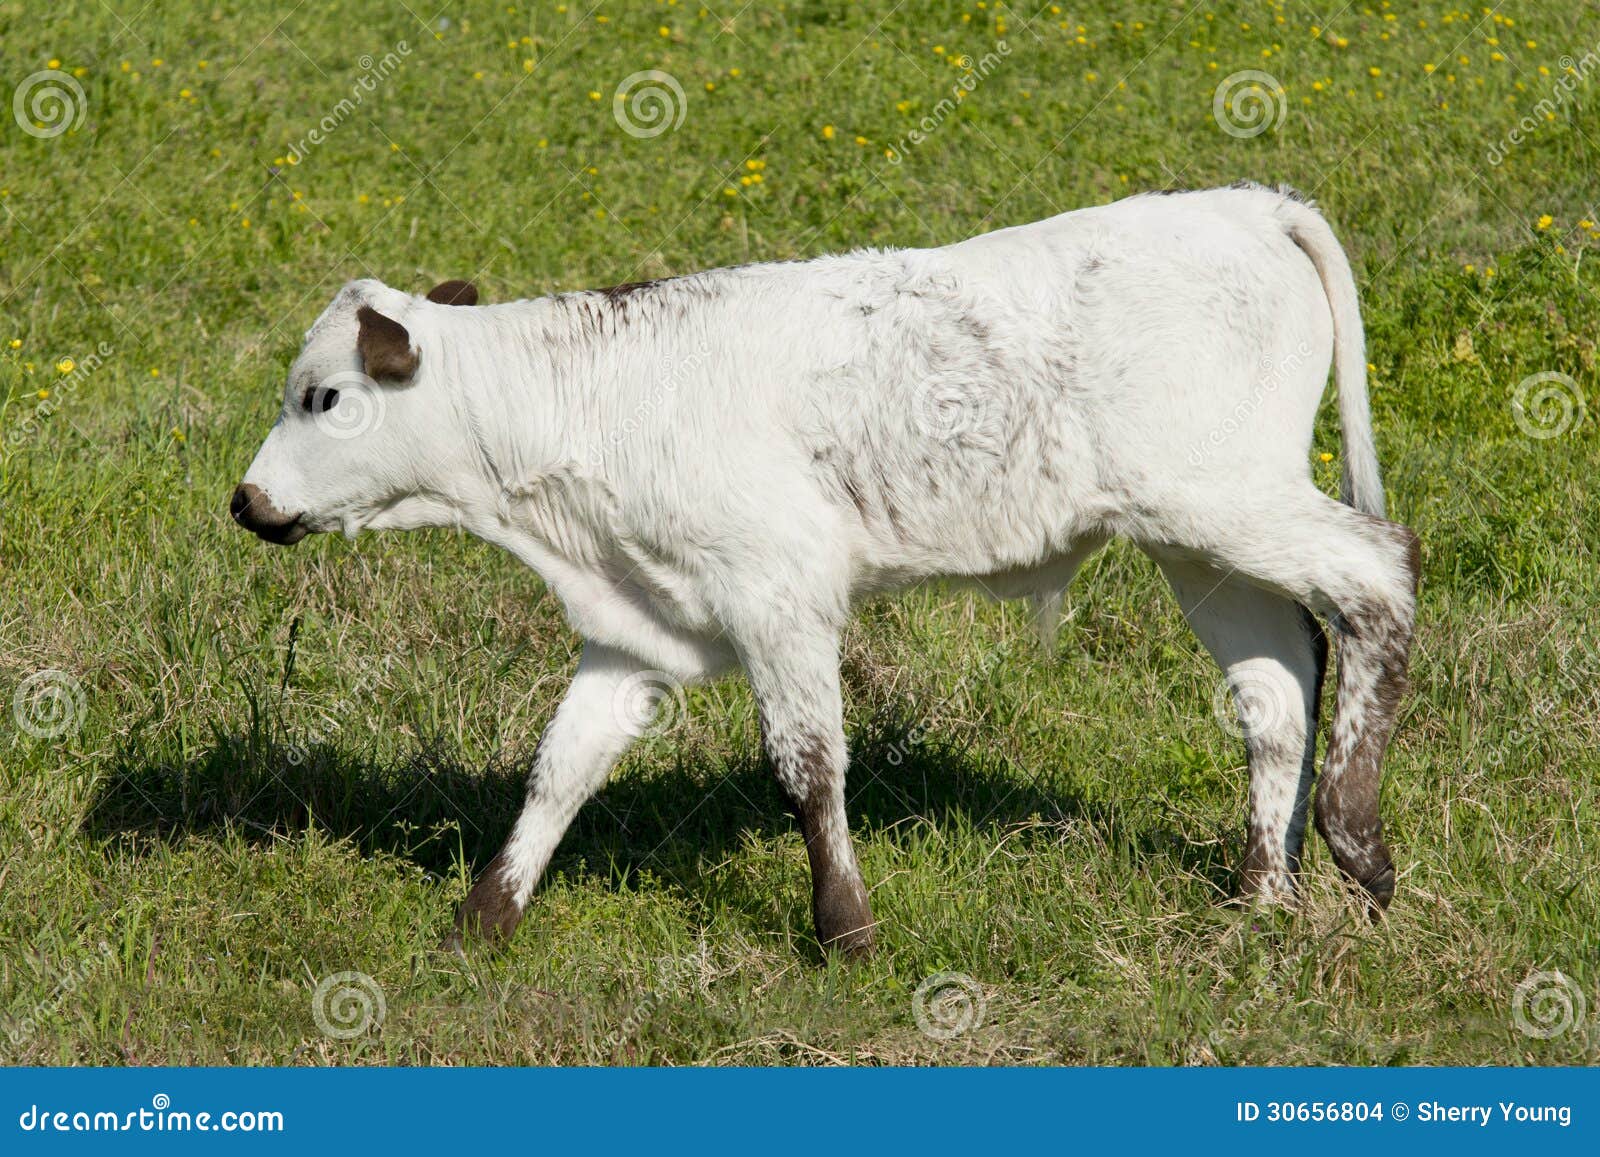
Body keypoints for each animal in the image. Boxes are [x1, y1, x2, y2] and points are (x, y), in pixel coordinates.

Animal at [232, 182, 1419, 955]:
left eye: (324, 396)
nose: (246, 500)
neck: (587, 403)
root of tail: (1249, 202)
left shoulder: (779, 595)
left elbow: (808, 767)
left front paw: (844, 929)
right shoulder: (634, 625)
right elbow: (560, 769)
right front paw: (482, 919)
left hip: (1227, 497)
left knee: (1378, 576)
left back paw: (1355, 842)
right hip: (1194, 539)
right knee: (1274, 684)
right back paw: (1261, 894)